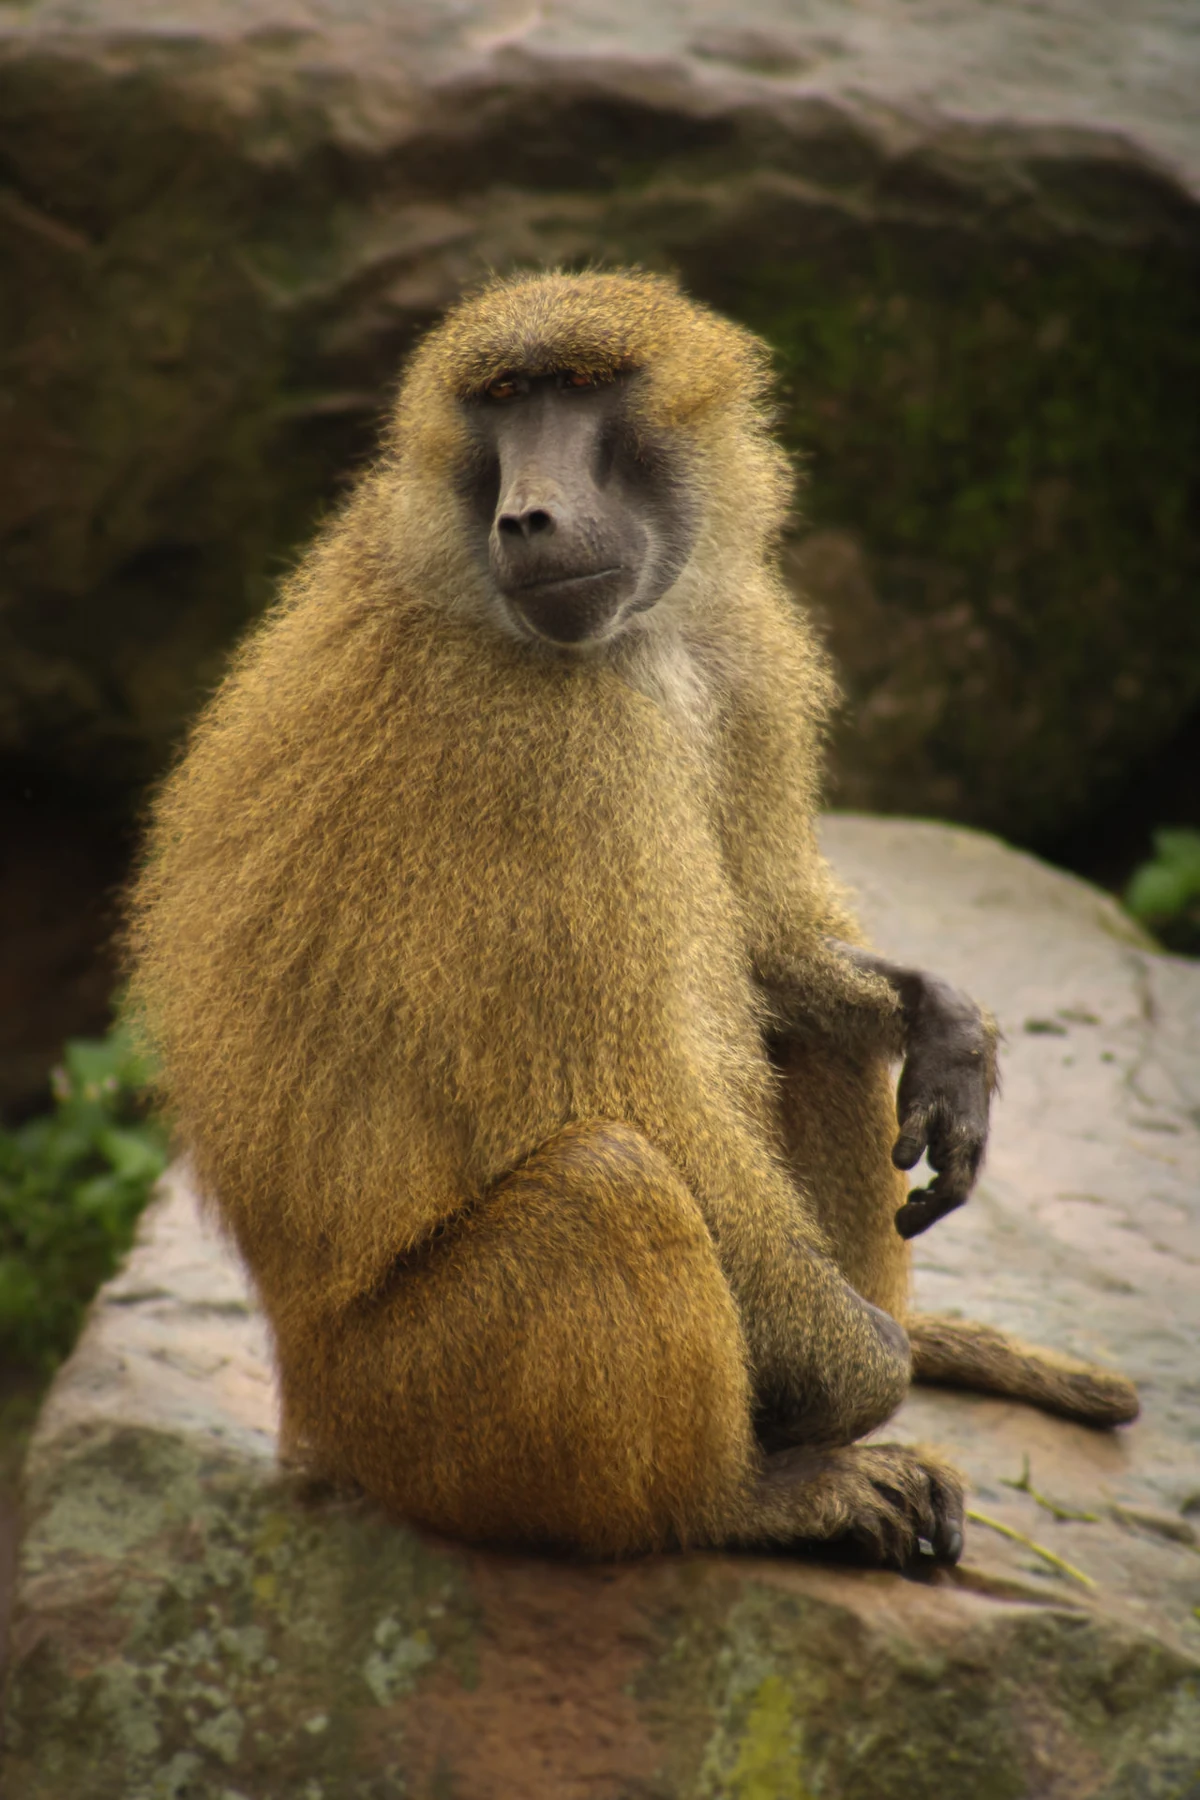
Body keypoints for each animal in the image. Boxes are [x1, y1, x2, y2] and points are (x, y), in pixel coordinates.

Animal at [125, 270, 1138, 1571]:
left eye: (577, 388)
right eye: (504, 400)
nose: (528, 518)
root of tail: (305, 1405)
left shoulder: (738, 652)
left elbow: (759, 949)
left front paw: (946, 1023)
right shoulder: (540, 756)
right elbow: (633, 1077)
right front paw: (867, 1372)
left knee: (815, 1043)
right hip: (416, 1415)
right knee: (609, 1179)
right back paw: (750, 1497)